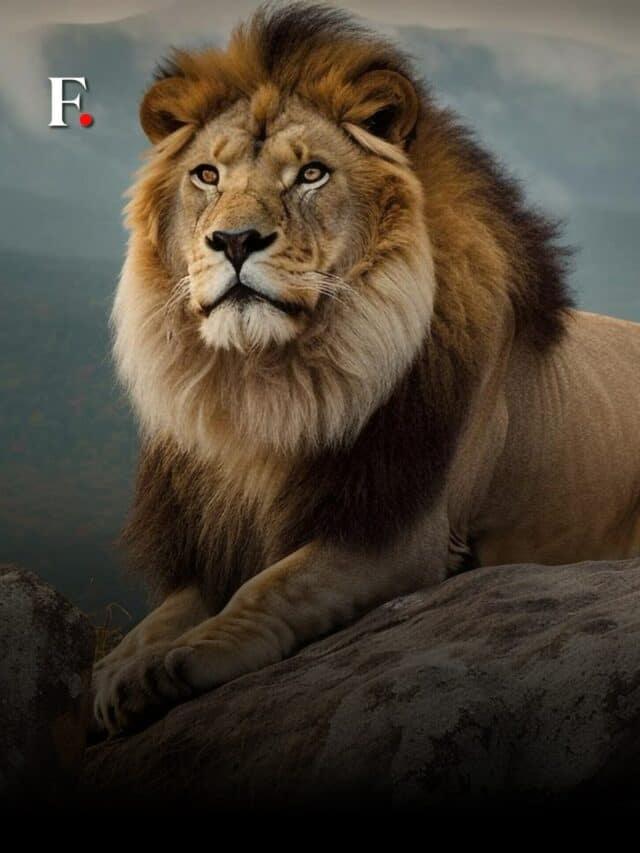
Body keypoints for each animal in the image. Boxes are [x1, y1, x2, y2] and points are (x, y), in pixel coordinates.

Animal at [93, 4, 640, 735]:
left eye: (312, 175)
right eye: (207, 175)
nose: (234, 240)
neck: (267, 387)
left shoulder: (403, 533)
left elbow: (269, 588)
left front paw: (181, 659)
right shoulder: (220, 539)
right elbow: (166, 613)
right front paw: (123, 667)